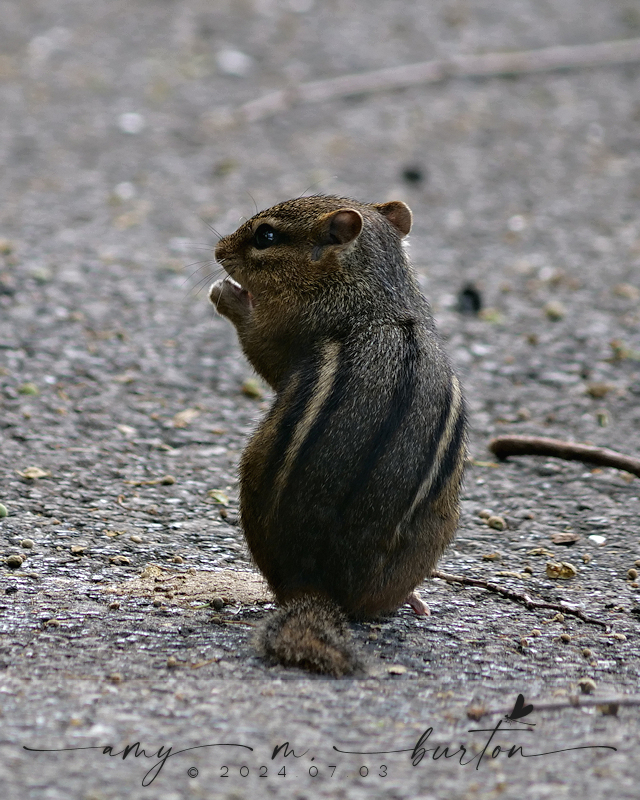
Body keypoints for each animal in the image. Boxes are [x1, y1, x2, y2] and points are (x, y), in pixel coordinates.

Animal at [209, 194, 467, 676]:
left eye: (265, 236)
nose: (218, 251)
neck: (375, 293)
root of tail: (318, 586)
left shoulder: (294, 328)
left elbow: (264, 351)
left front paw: (227, 293)